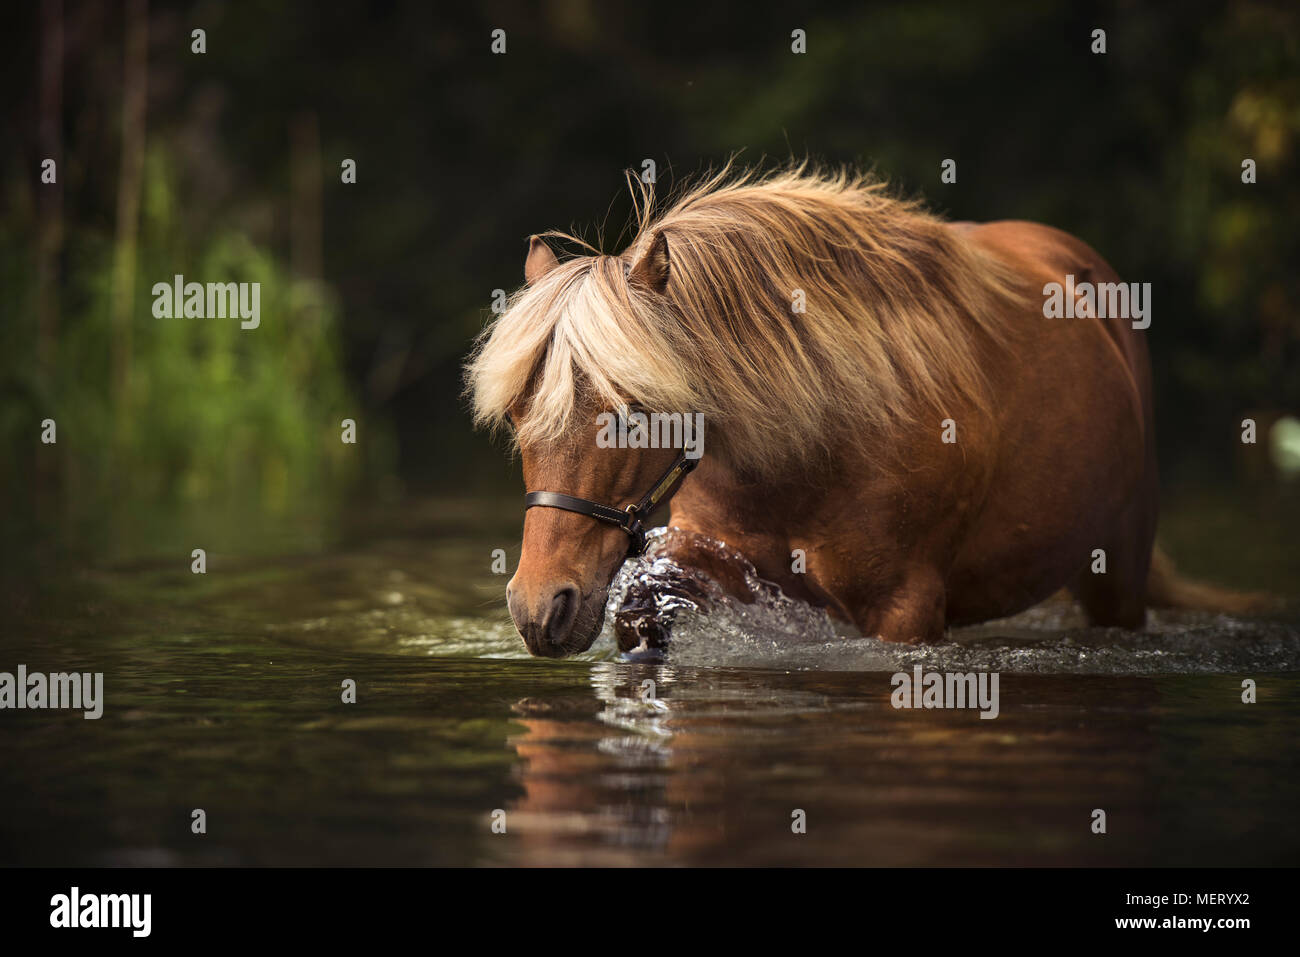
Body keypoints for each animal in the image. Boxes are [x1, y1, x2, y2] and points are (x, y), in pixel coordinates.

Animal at [466, 164, 1257, 658]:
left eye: (634, 409)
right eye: (517, 418)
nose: (539, 608)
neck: (817, 447)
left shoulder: (904, 614)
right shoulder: (722, 560)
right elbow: (642, 606)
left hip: (1115, 570)